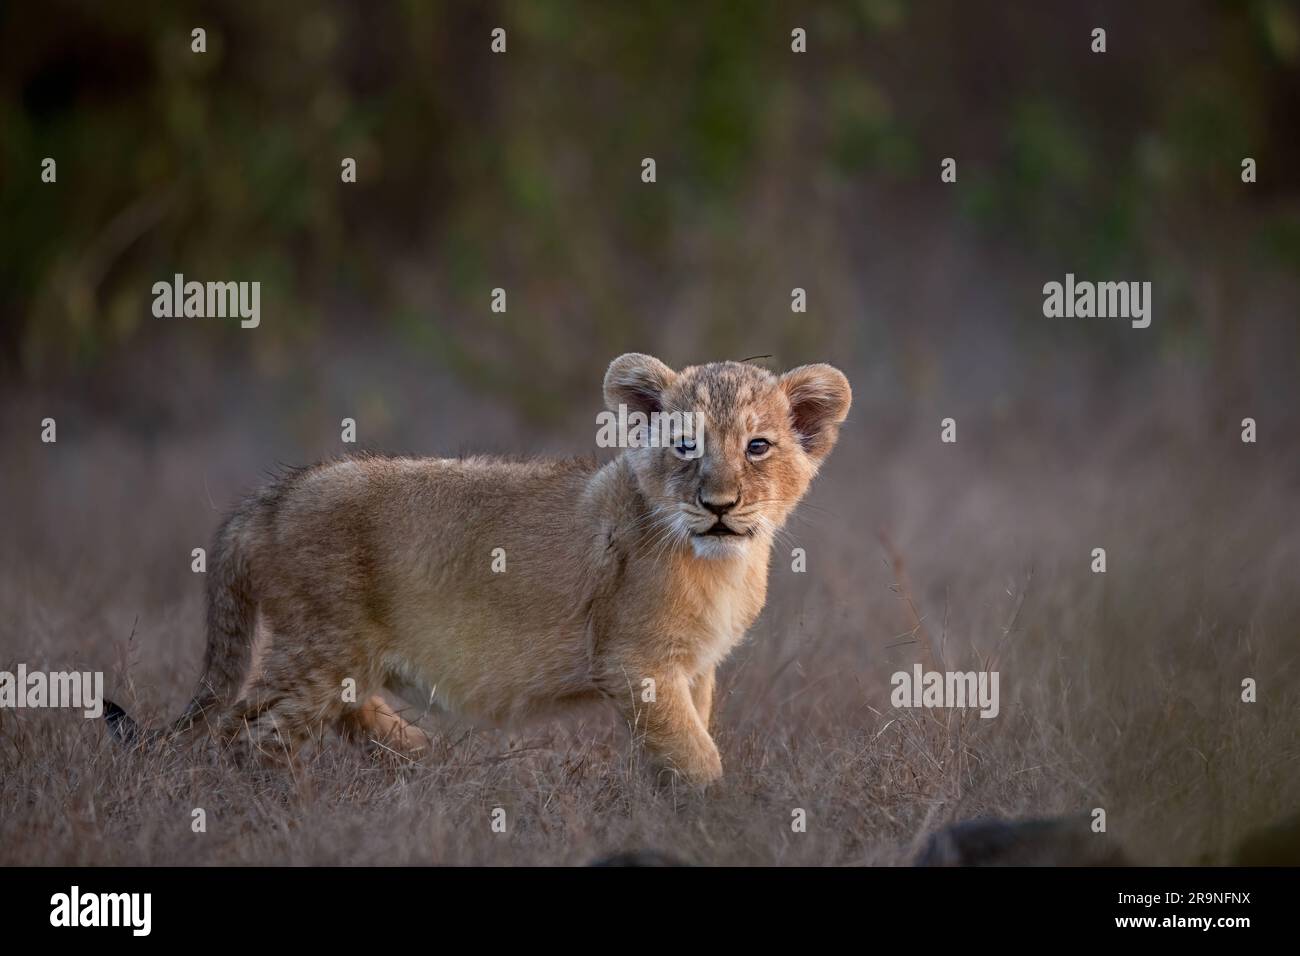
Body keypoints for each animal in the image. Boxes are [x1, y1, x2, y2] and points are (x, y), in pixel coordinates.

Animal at [105, 353, 851, 785]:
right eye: (686, 445)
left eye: (758, 447)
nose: (718, 504)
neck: (721, 564)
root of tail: (278, 493)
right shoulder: (632, 661)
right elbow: (696, 754)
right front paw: (717, 811)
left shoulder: (691, 669)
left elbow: (678, 741)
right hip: (319, 646)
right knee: (245, 730)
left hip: (338, 657)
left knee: (329, 712)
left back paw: (420, 755)